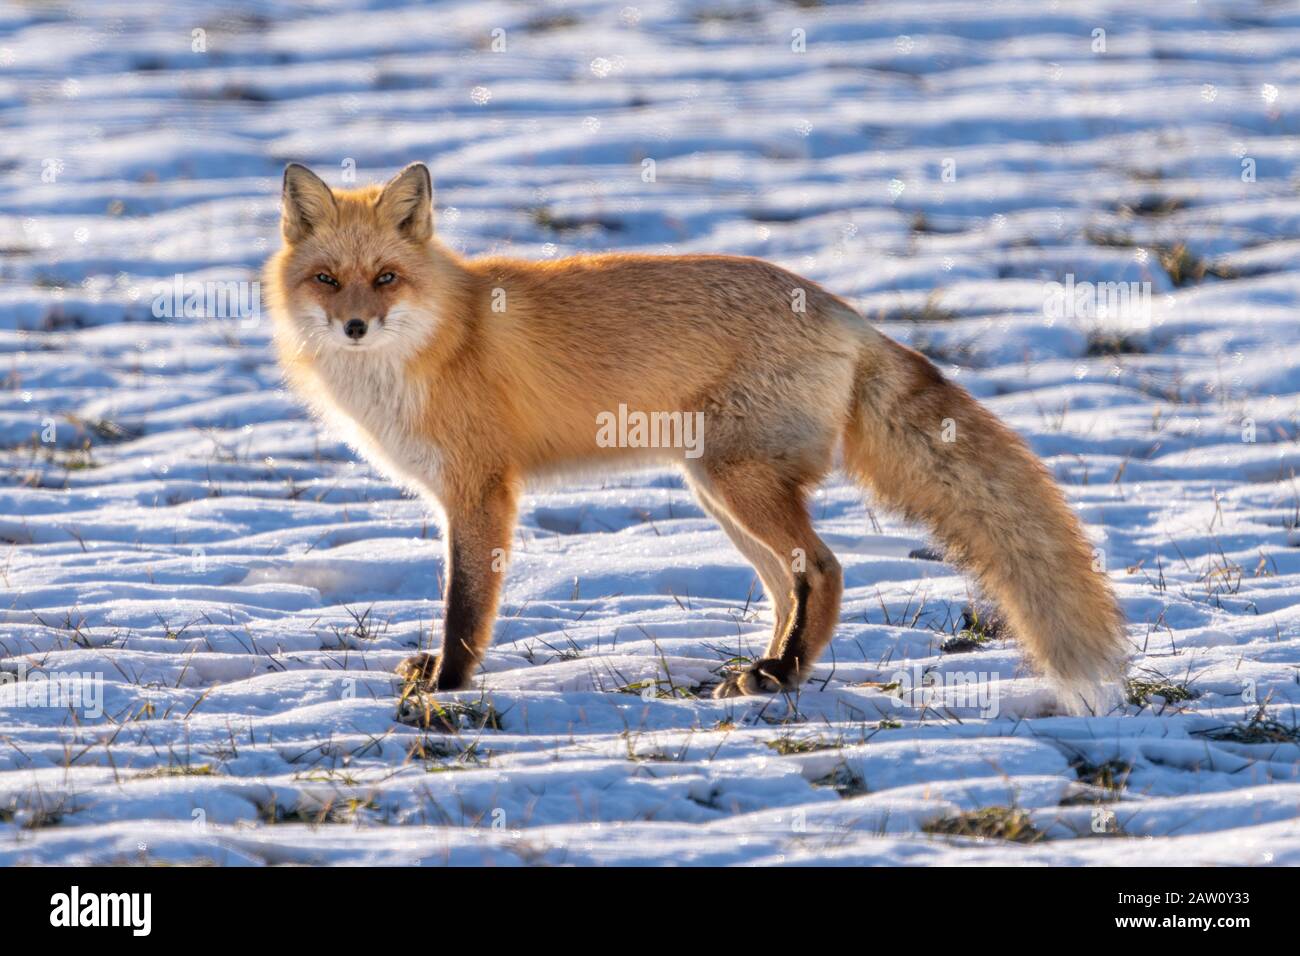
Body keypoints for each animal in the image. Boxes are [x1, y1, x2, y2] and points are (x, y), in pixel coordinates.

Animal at [265, 162, 1128, 712]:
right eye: (326, 279)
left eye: (385, 278)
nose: (353, 327)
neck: (438, 340)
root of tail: (842, 309)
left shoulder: (481, 491)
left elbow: (466, 607)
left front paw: (445, 690)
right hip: (717, 489)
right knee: (791, 582)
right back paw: (770, 672)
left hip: (735, 479)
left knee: (824, 567)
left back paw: (778, 674)